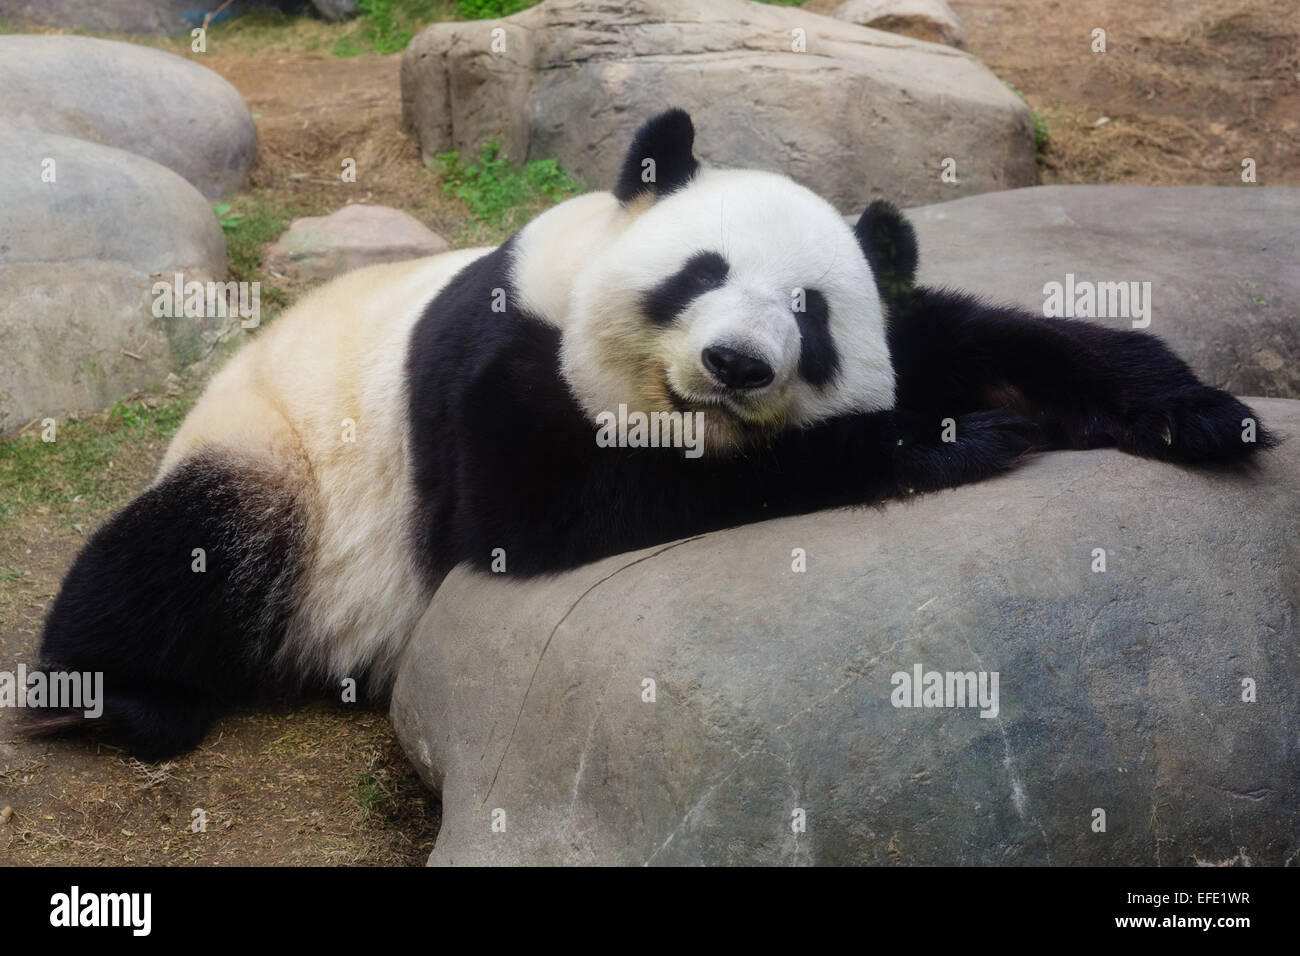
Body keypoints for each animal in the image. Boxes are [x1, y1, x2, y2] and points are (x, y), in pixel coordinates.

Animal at [24, 108, 1274, 760]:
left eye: (811, 313)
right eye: (701, 272)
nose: (737, 364)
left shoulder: (900, 327)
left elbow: (987, 339)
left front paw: (1202, 410)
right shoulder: (498, 353)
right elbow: (548, 505)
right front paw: (941, 442)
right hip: (277, 455)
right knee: (186, 552)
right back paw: (117, 695)